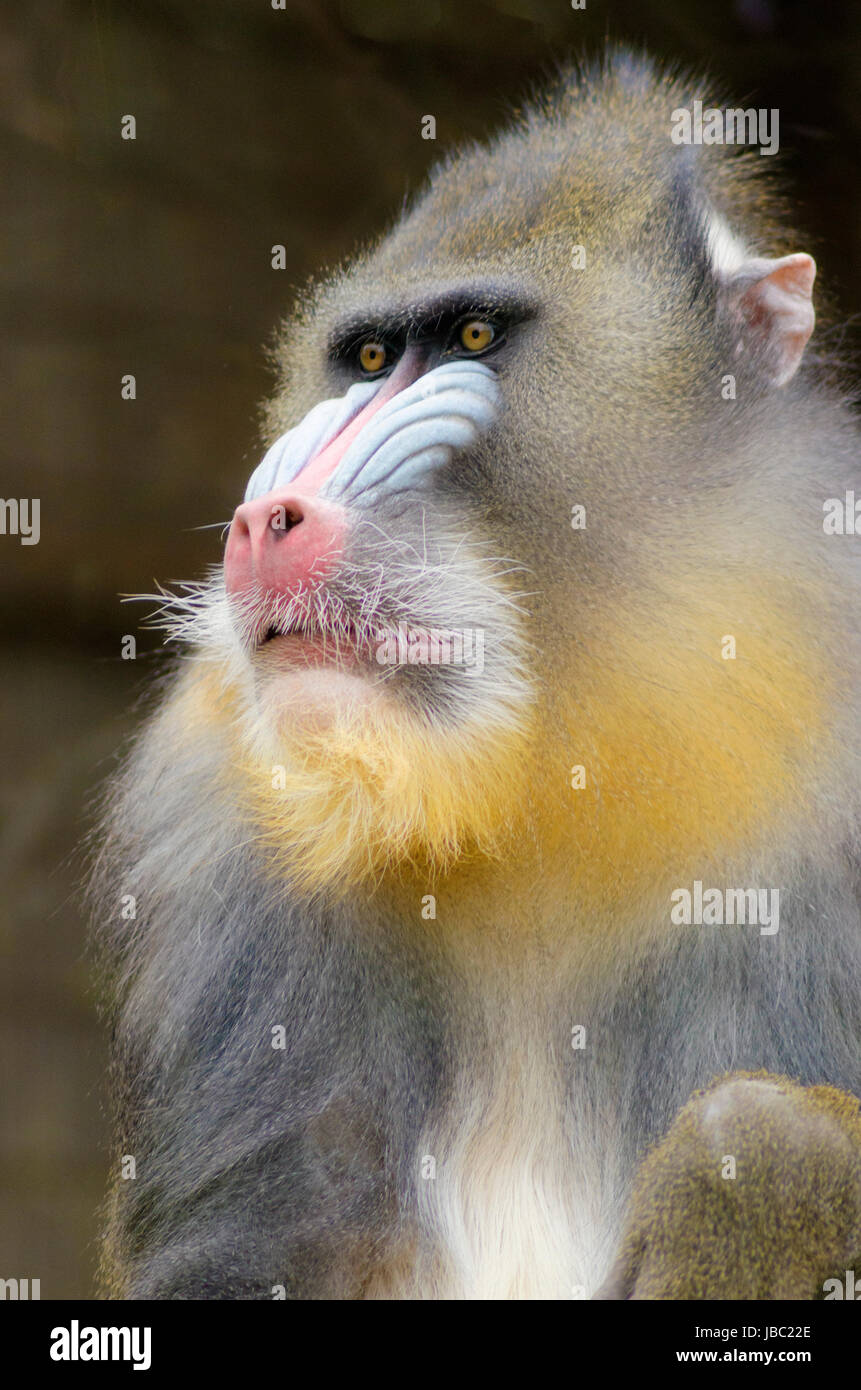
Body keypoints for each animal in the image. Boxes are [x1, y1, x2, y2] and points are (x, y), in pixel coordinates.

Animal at [90, 48, 861, 1300]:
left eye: (473, 337)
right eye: (366, 357)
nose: (267, 521)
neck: (574, 751)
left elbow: (770, 1141)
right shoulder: (213, 822)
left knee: (762, 1133)